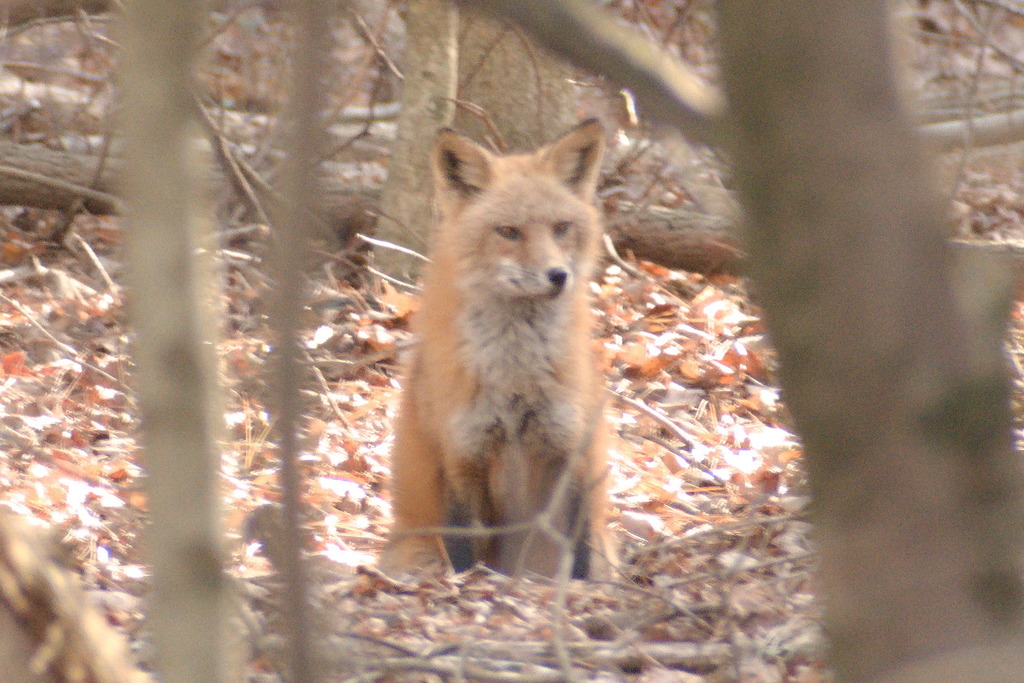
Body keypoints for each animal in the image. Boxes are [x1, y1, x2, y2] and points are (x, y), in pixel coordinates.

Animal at [379, 119, 615, 580]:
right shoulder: (461, 455)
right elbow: (463, 553)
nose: (558, 276)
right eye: (509, 231)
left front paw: (579, 590)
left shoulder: (569, 449)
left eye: (561, 227)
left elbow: (577, 554)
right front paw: (466, 586)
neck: (515, 376)